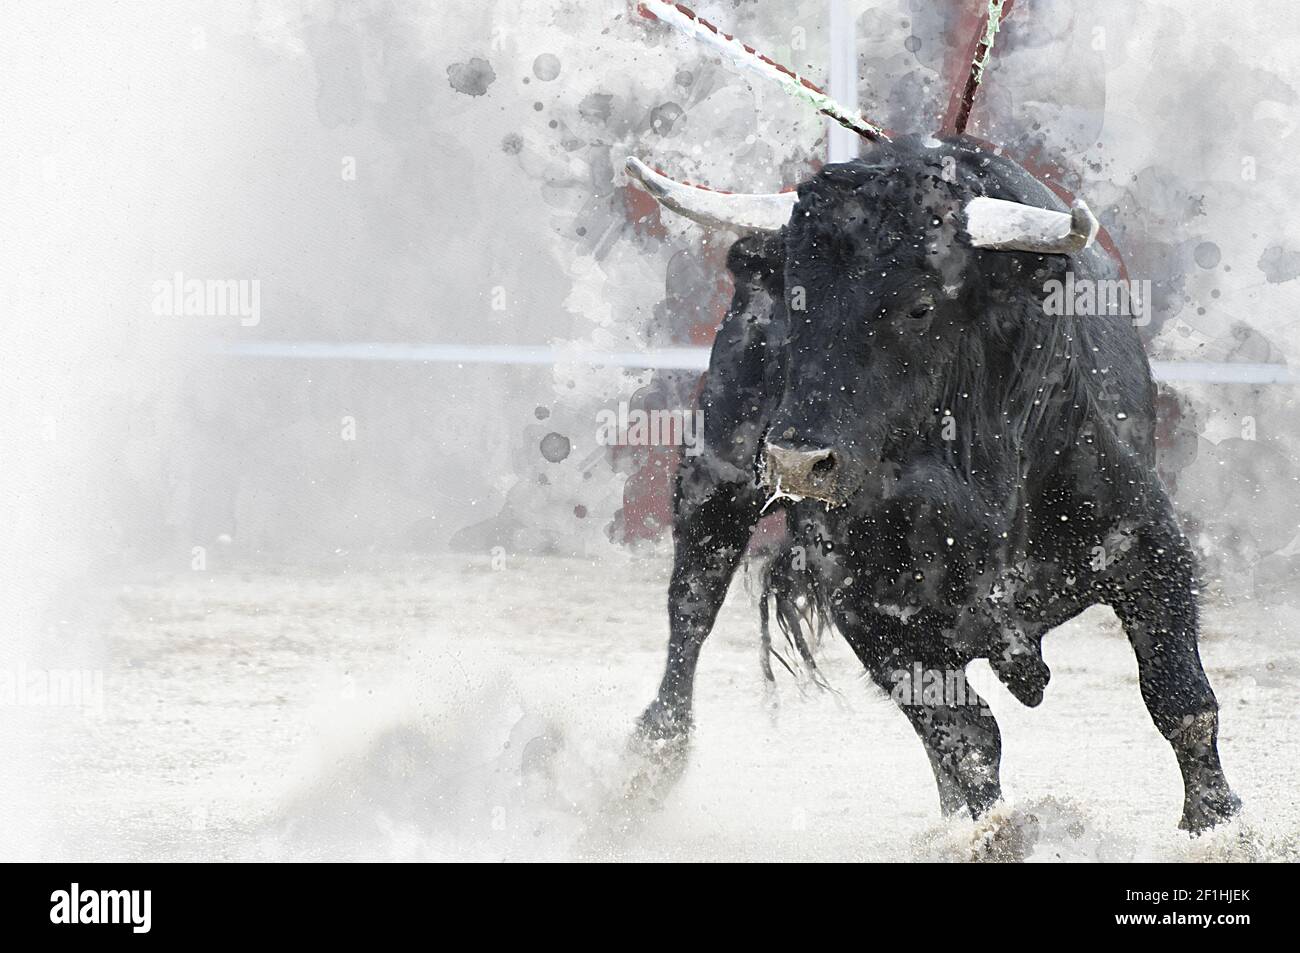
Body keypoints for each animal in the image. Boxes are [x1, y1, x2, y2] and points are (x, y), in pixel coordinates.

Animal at [624, 133, 1241, 833]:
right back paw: (652, 757)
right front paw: (992, 835)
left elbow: (1179, 699)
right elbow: (964, 735)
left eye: (920, 307)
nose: (796, 462)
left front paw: (1217, 827)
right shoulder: (865, 603)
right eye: (794, 302)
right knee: (692, 607)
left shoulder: (1148, 544)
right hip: (714, 479)